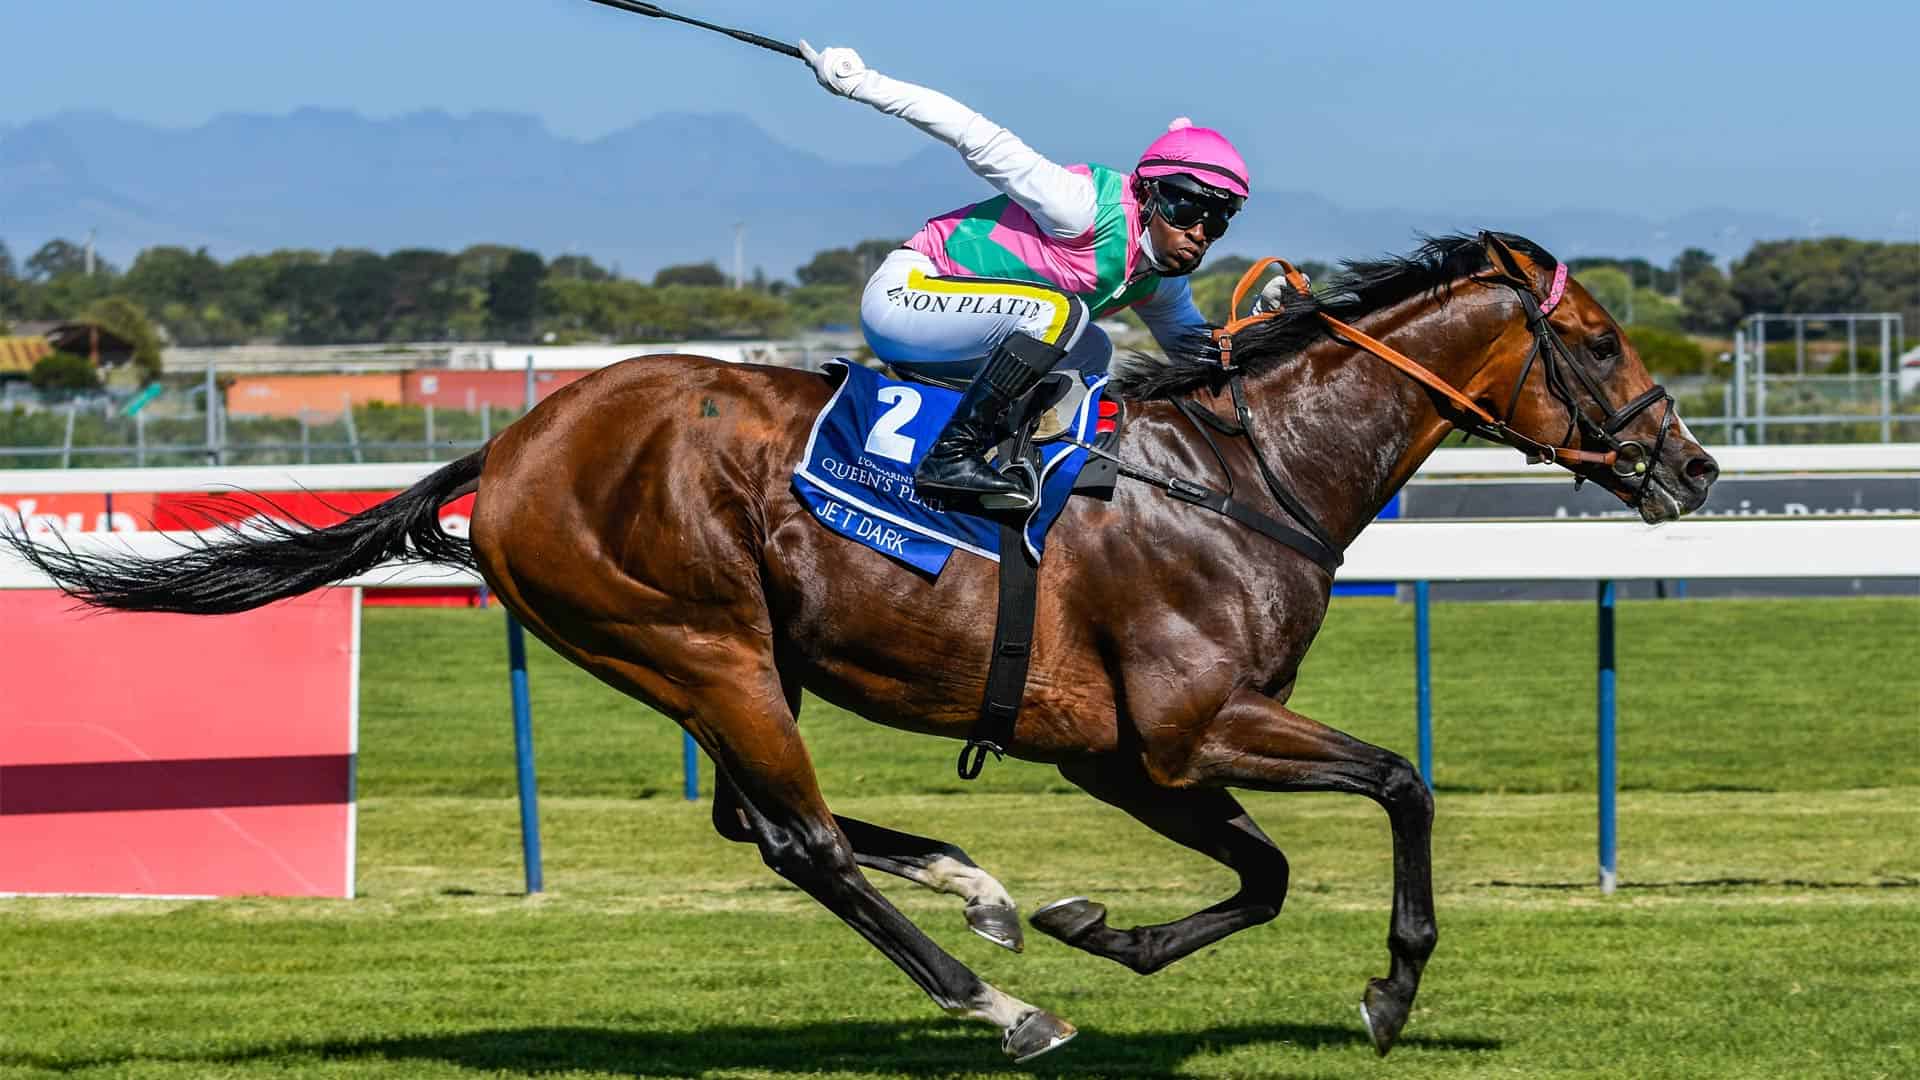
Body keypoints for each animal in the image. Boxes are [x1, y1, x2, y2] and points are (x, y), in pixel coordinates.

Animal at [6, 232, 1719, 1064]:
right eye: (1599, 340)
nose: (1692, 467)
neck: (1246, 475)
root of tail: (511, 442)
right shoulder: (1184, 727)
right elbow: (1399, 788)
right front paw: (1392, 990)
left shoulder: (1121, 754)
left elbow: (1266, 870)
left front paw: (1103, 926)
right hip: (693, 640)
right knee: (805, 842)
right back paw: (995, 1002)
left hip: (713, 659)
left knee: (760, 823)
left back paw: (986, 893)